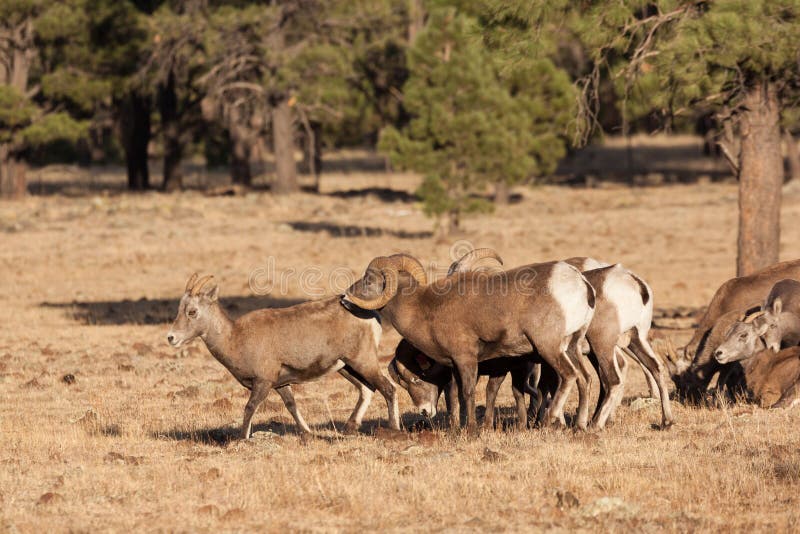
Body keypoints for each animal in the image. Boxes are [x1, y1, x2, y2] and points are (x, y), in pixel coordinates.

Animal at [167, 273, 400, 438]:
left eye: (192, 312)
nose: (171, 338)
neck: (235, 338)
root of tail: (370, 314)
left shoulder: (263, 383)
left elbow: (249, 408)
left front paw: (243, 439)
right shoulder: (281, 385)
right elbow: (291, 406)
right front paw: (307, 433)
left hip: (363, 362)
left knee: (388, 388)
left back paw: (394, 430)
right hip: (346, 367)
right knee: (367, 390)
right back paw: (349, 428)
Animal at [344, 254, 596, 433]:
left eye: (369, 280)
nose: (344, 297)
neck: (423, 309)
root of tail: (581, 284)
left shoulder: (465, 359)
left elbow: (468, 393)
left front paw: (473, 430)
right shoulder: (455, 365)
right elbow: (456, 396)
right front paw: (460, 428)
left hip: (549, 348)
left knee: (569, 376)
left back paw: (548, 422)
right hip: (572, 347)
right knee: (585, 378)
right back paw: (580, 426)